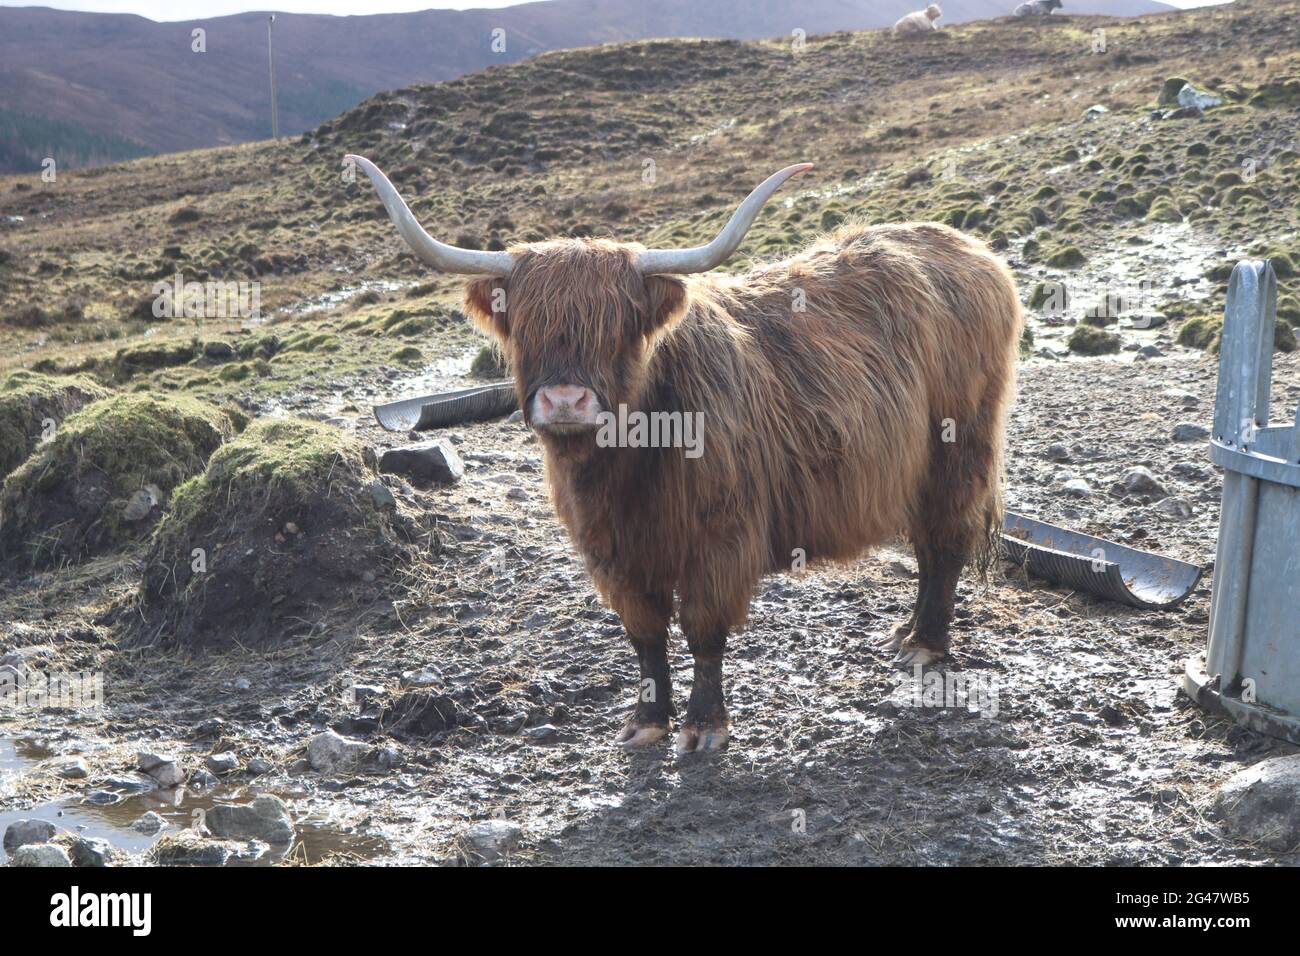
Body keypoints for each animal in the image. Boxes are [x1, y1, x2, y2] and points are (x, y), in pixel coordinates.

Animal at [348, 154, 1020, 755]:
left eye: (618, 322)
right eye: (527, 323)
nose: (565, 401)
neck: (628, 466)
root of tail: (968, 247)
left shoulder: (718, 538)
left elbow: (702, 632)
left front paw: (703, 727)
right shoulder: (612, 554)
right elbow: (644, 636)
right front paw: (646, 722)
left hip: (959, 449)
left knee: (946, 539)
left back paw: (926, 642)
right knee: (928, 543)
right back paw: (907, 631)